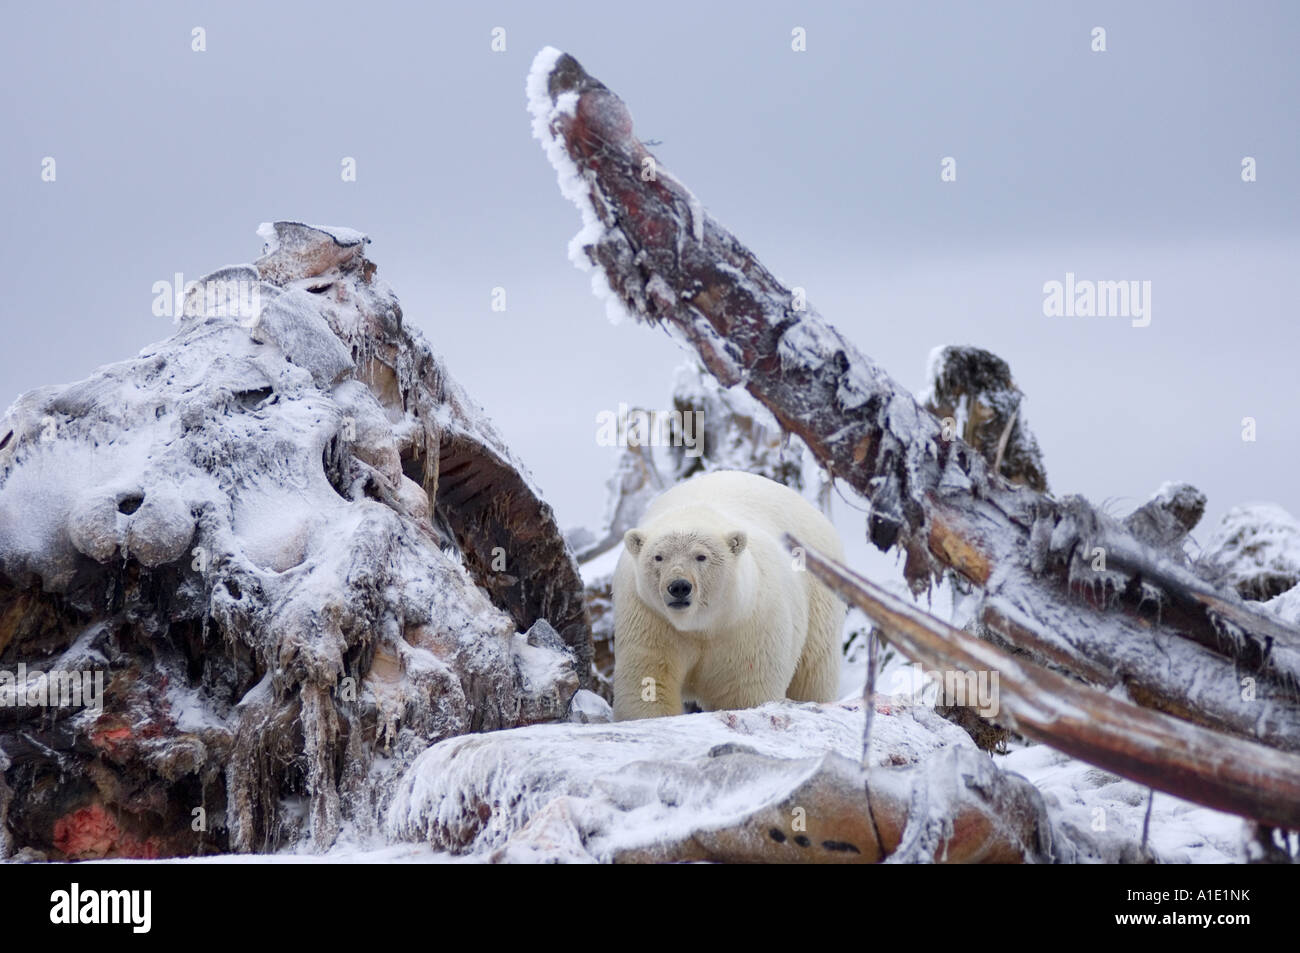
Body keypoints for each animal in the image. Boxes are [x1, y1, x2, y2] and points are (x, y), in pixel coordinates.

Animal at [612, 469, 846, 721]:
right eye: (658, 556)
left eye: (701, 556)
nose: (679, 586)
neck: (704, 624)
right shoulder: (649, 618)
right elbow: (648, 680)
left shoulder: (749, 627)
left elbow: (743, 691)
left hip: (820, 598)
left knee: (813, 671)